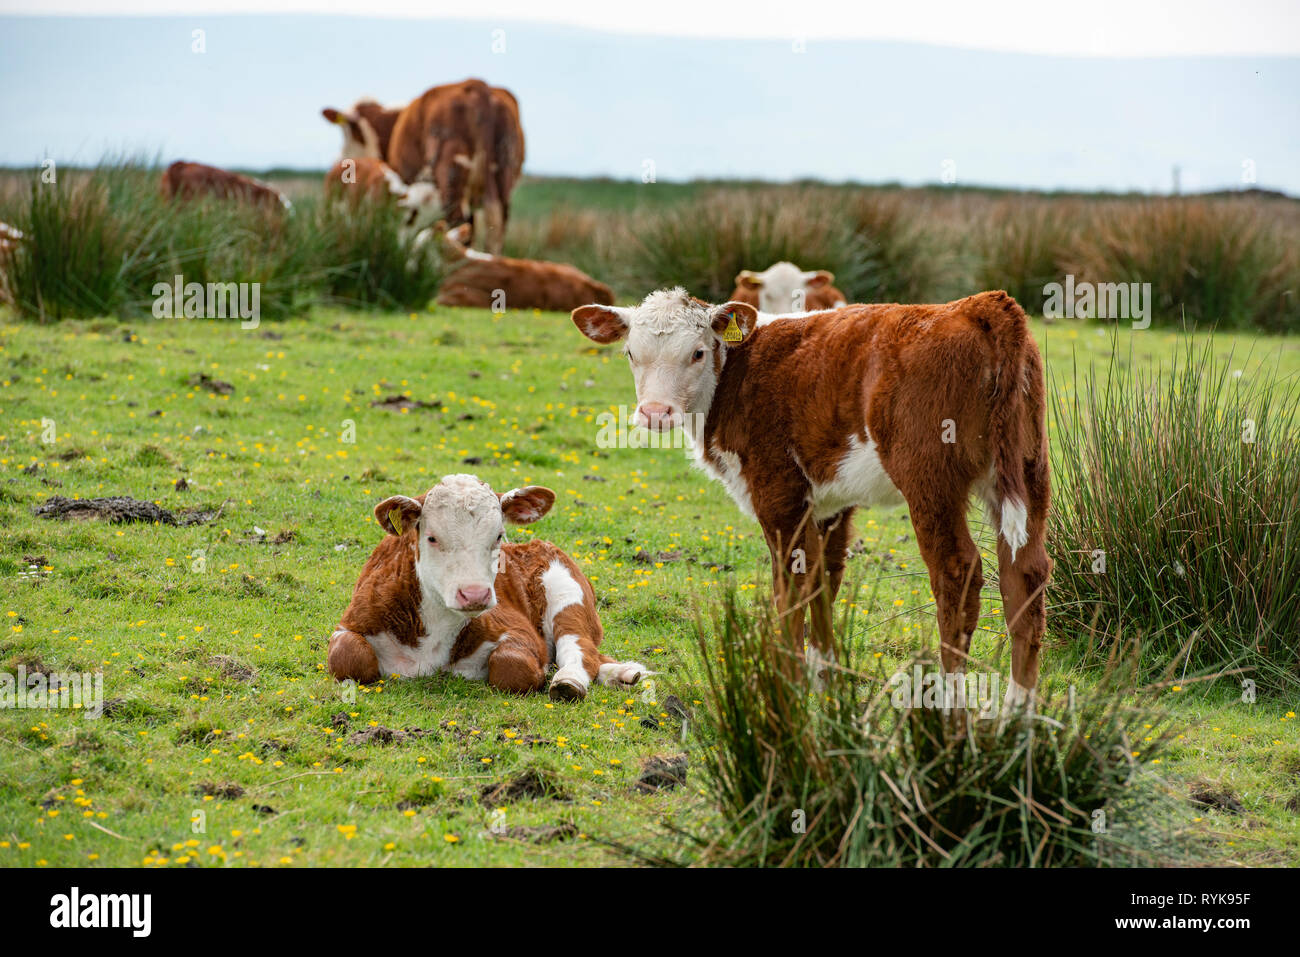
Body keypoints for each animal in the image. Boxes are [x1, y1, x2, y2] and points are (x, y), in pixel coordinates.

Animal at [323, 79, 524, 254]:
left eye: (346, 134)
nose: (340, 159)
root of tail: (478, 86)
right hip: (501, 181)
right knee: (495, 230)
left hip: (452, 180)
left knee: (460, 224)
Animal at [327, 474, 649, 701]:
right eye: (432, 537)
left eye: (498, 535)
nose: (475, 594)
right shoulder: (351, 622)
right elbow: (348, 656)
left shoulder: (516, 629)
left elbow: (512, 666)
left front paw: (542, 671)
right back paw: (624, 673)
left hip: (568, 591)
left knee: (580, 648)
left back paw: (570, 680)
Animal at [571, 288, 1051, 712]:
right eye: (631, 354)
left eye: (697, 353)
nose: (655, 413)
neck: (735, 374)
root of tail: (980, 305)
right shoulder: (829, 502)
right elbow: (824, 578)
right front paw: (825, 679)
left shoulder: (778, 492)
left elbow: (792, 585)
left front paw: (788, 683)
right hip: (1027, 467)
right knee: (1025, 571)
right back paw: (1019, 708)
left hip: (930, 478)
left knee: (957, 571)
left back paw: (950, 699)